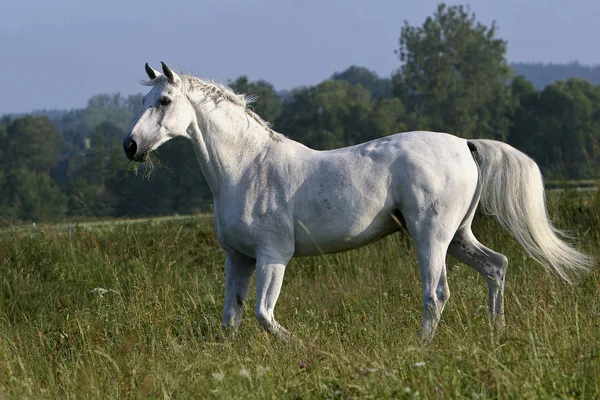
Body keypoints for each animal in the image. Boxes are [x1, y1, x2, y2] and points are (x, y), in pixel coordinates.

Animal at [122, 61, 592, 340]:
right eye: (143, 100)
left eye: (164, 100)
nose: (131, 147)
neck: (246, 167)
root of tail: (465, 144)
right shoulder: (238, 259)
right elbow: (232, 319)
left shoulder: (274, 256)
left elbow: (263, 315)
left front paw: (301, 347)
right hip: (459, 236)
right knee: (496, 266)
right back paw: (496, 332)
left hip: (432, 238)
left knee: (436, 294)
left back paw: (420, 348)